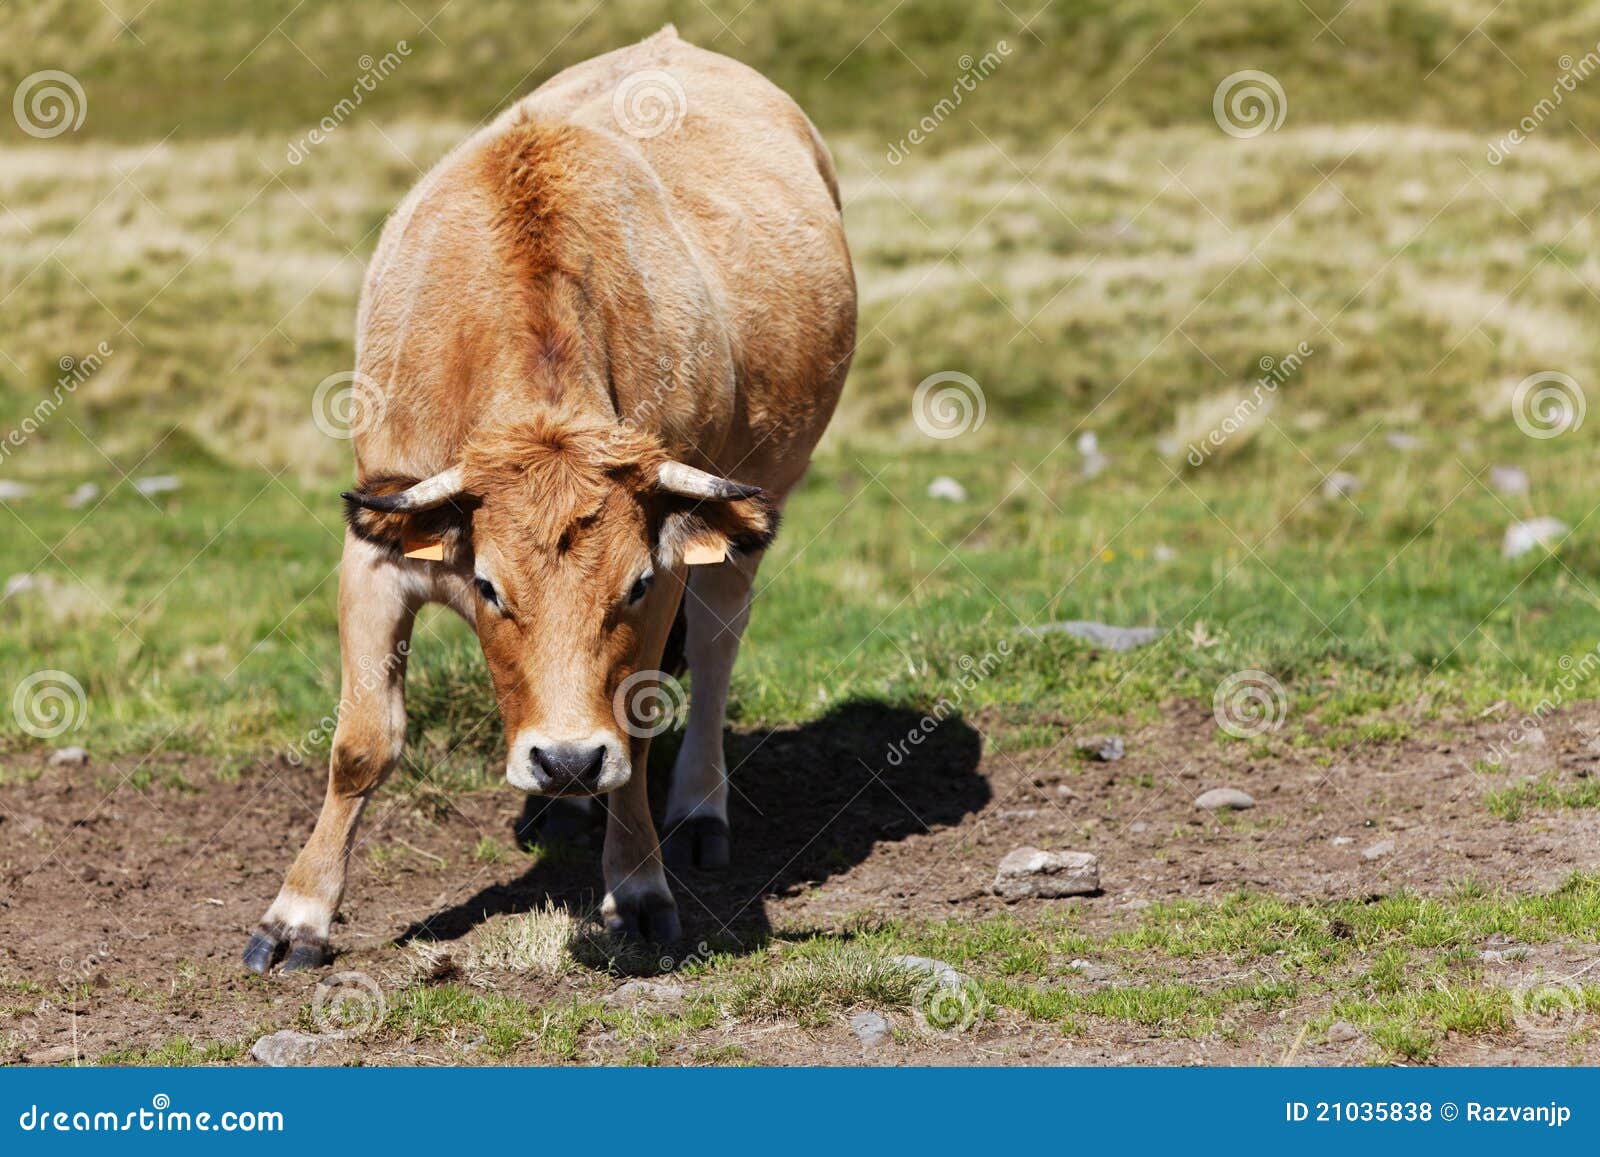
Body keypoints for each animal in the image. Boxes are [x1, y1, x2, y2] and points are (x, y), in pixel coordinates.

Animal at [243, 26, 855, 971]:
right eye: (489, 586)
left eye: (632, 585)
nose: (567, 757)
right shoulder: (377, 545)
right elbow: (362, 742)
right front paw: (296, 914)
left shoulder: (671, 565)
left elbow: (638, 723)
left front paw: (637, 891)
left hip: (746, 518)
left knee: (718, 644)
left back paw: (695, 807)